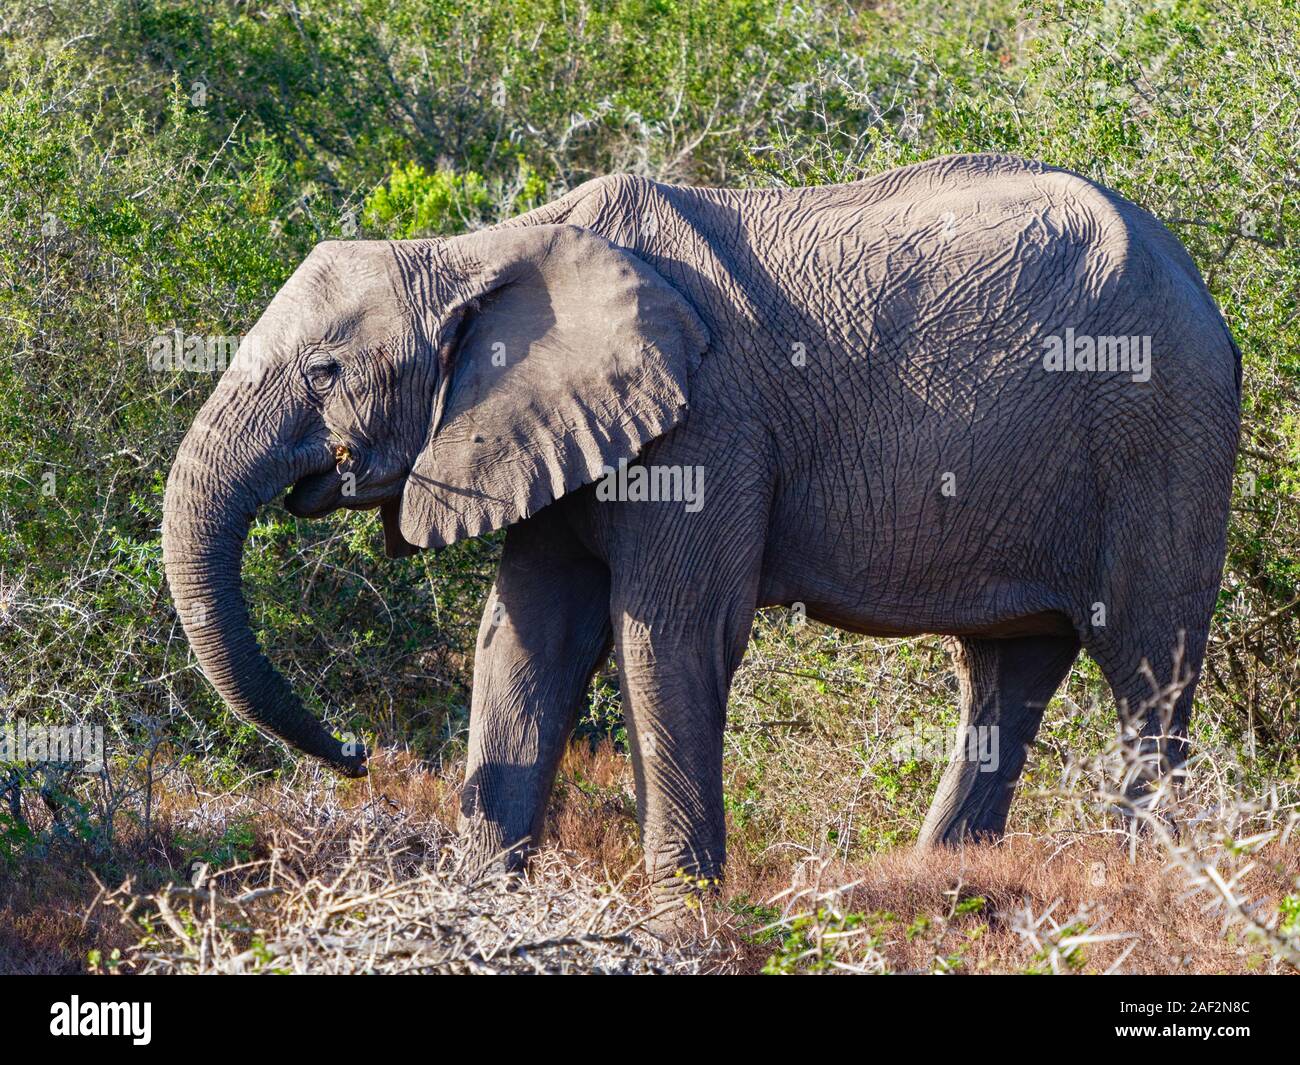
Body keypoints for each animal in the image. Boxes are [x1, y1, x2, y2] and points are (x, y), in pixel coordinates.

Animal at [162, 153, 1241, 897]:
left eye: (324, 372)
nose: (355, 753)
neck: (483, 248)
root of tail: (1203, 287)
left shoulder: (707, 425)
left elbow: (670, 632)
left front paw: (681, 909)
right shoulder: (556, 433)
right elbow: (526, 641)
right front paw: (476, 902)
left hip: (1164, 432)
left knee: (1147, 663)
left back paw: (1149, 882)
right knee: (1007, 671)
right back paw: (939, 883)